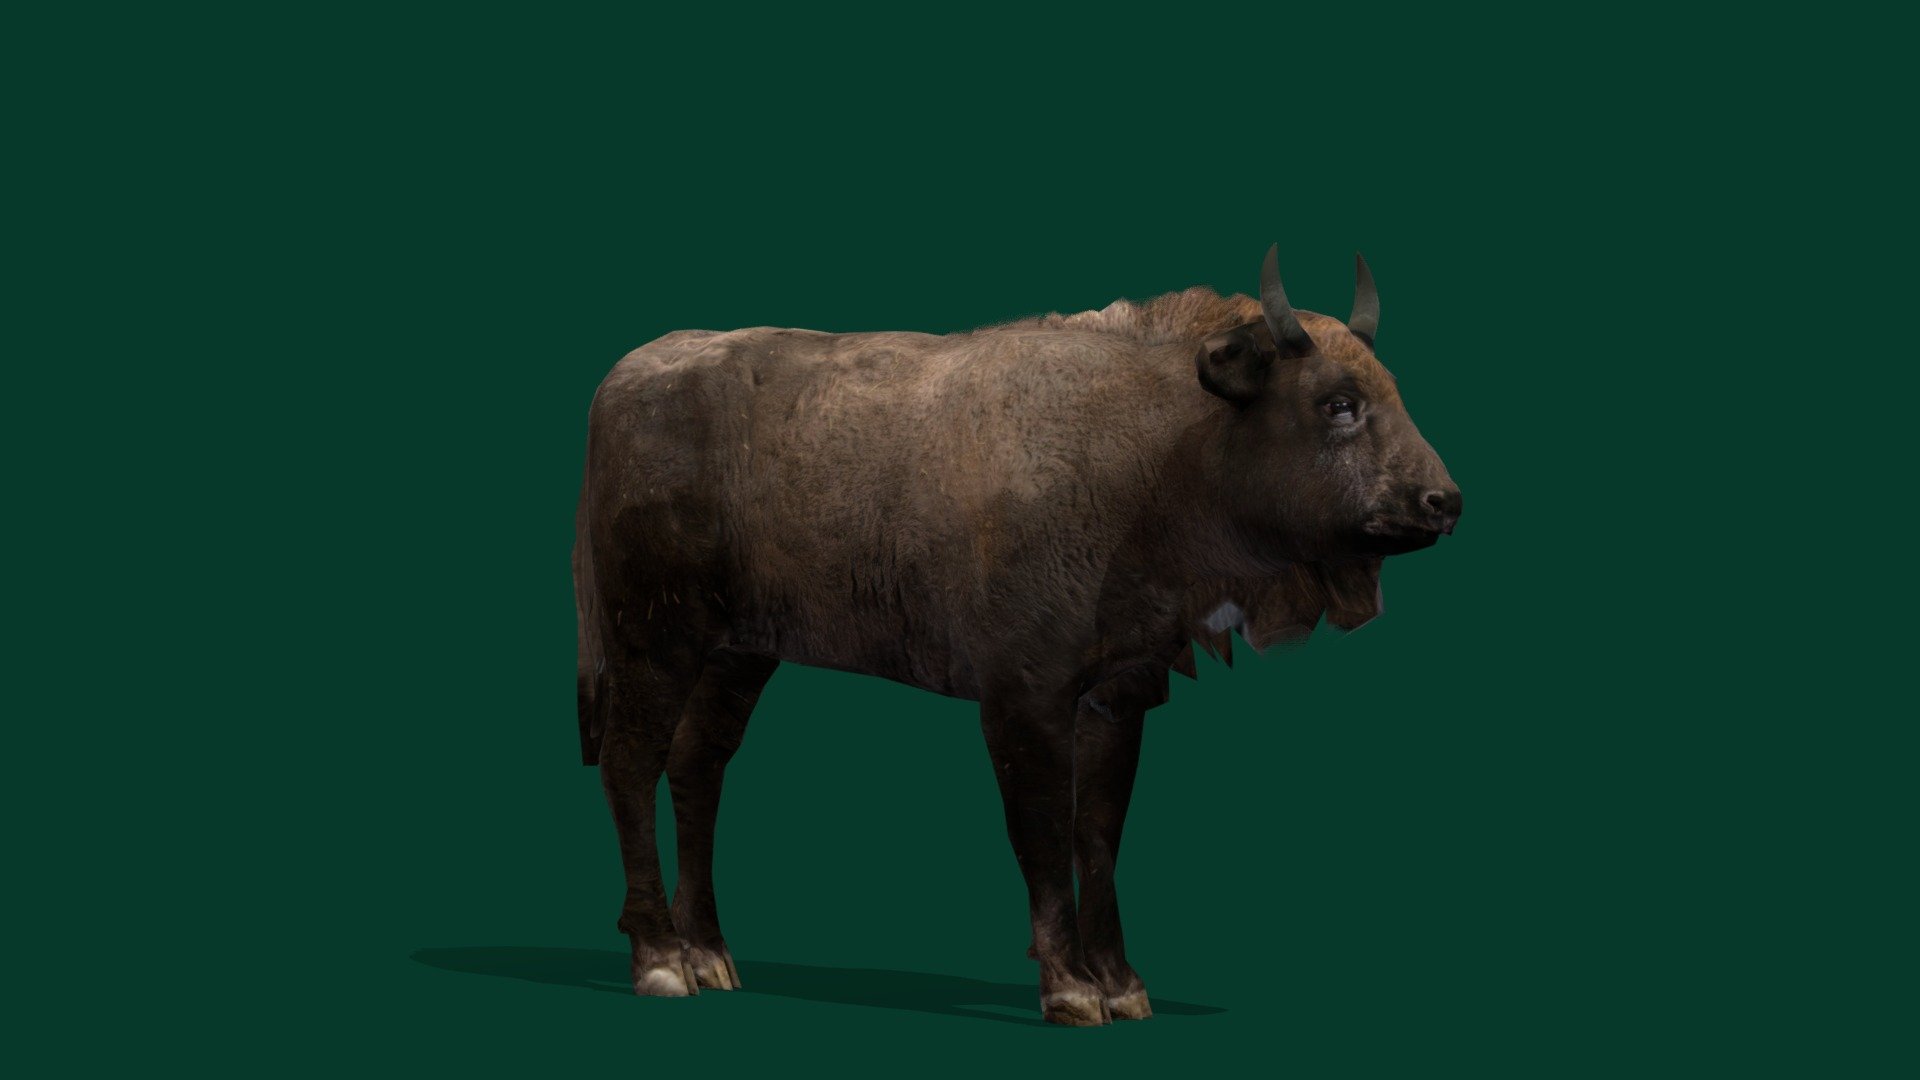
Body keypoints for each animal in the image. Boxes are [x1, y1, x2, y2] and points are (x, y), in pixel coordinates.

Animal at [571, 245, 1461, 1025]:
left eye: (1392, 389)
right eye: (1337, 402)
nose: (1443, 501)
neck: (1159, 444)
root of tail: (625, 378)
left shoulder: (1117, 697)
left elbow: (1097, 832)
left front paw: (1123, 988)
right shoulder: (1022, 700)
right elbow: (1040, 831)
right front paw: (1070, 991)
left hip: (738, 656)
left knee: (698, 769)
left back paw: (711, 955)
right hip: (655, 644)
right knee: (629, 764)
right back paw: (660, 961)